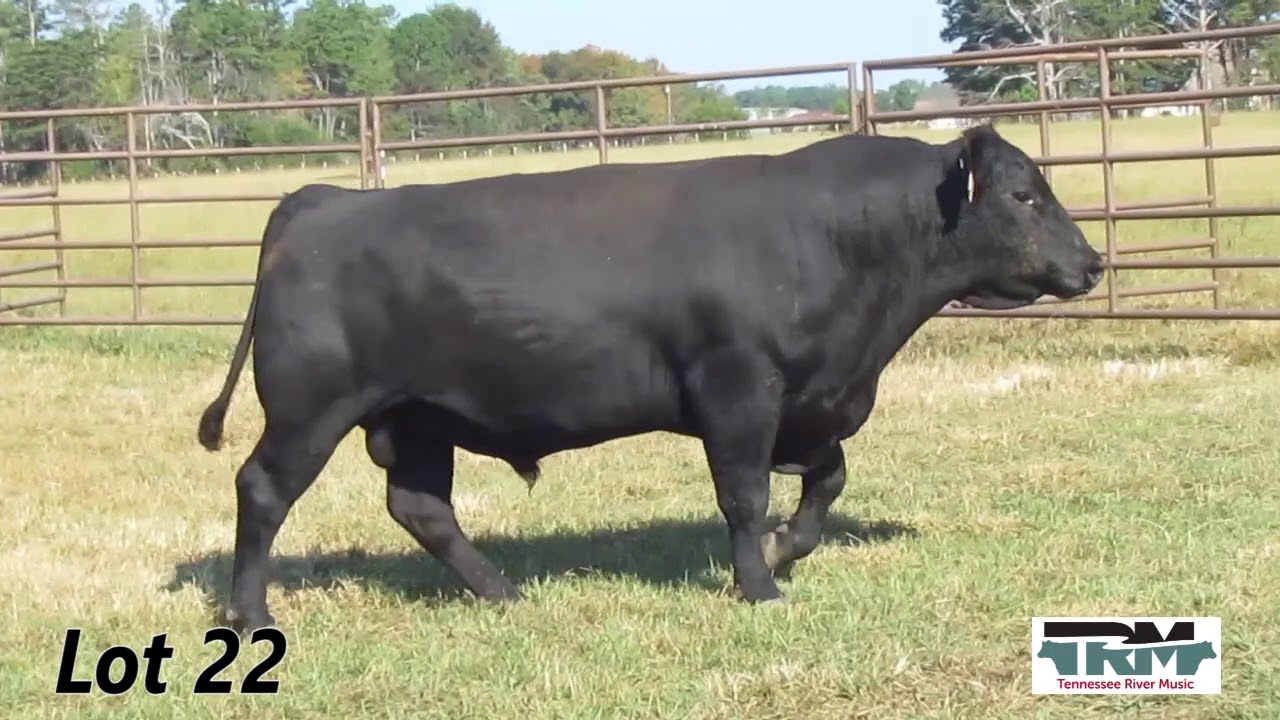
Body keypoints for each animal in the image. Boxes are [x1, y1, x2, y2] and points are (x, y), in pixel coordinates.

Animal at [197, 124, 1104, 633]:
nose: (1094, 262)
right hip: (310, 409)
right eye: (1024, 196)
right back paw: (251, 613)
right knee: (263, 490)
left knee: (422, 509)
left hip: (417, 417)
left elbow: (827, 482)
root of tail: (324, 198)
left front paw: (786, 550)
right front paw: (759, 587)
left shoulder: (812, 400)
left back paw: (504, 594)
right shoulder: (738, 390)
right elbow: (745, 496)